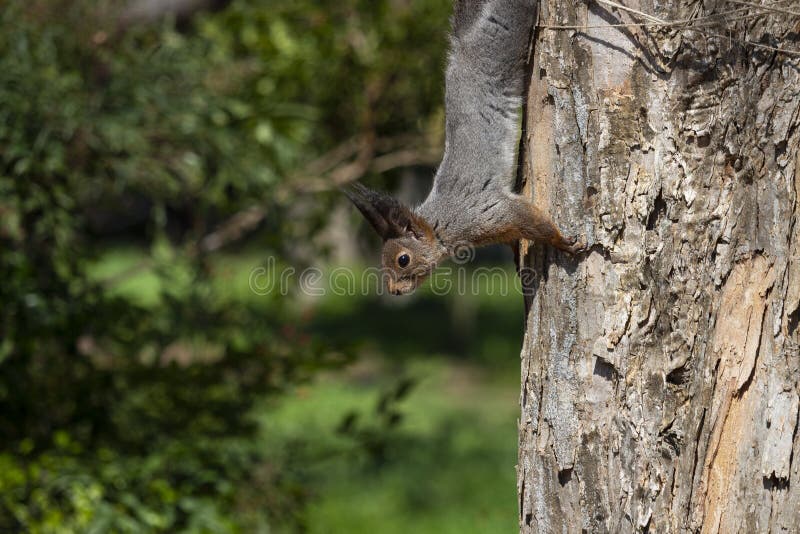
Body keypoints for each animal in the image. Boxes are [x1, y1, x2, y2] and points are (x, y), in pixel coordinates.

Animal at [345, 0, 584, 296]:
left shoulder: (489, 211)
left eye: (403, 260)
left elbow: (533, 222)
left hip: (506, 34)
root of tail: (465, 43)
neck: (441, 225)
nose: (394, 291)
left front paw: (563, 242)